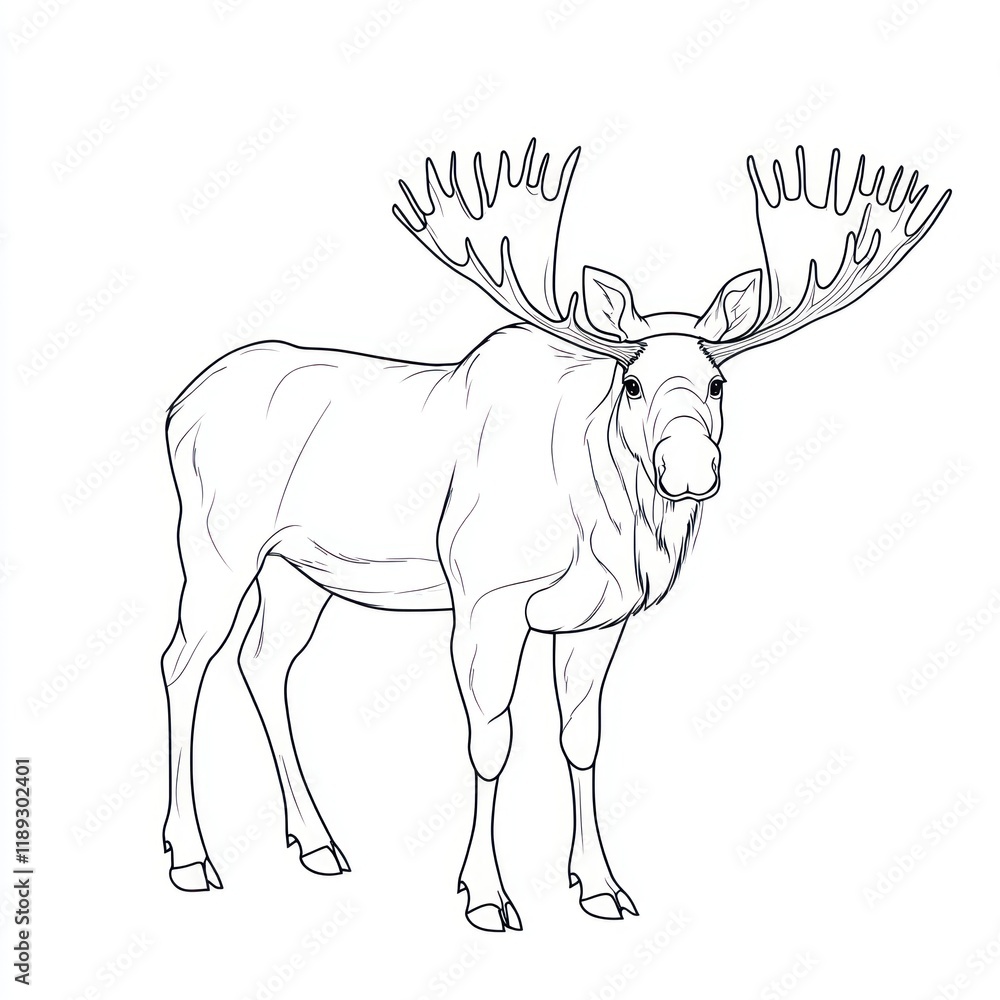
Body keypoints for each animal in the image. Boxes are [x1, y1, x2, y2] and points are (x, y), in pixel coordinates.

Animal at [159, 141, 949, 931]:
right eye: (632, 381)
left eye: (717, 381)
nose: (690, 468)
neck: (607, 522)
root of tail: (176, 408)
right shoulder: (485, 598)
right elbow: (490, 740)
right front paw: (486, 893)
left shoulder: (596, 619)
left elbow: (581, 738)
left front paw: (600, 885)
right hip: (215, 551)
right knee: (182, 663)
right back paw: (191, 857)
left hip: (298, 571)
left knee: (263, 663)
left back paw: (317, 841)